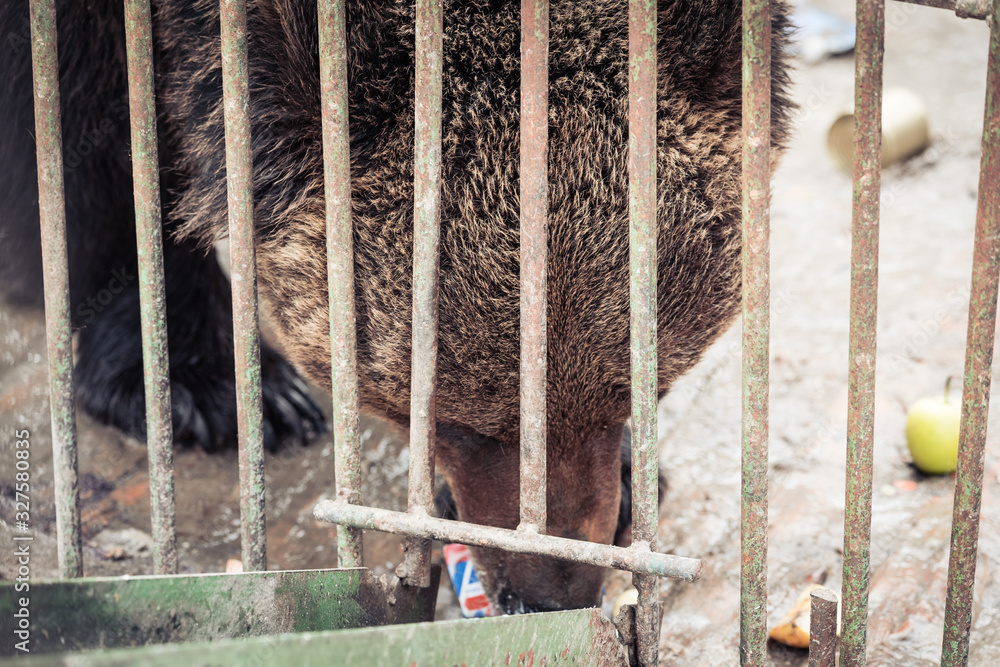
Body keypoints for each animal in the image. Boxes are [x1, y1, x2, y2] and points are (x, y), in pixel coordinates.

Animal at [0, 0, 792, 614]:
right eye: (454, 422)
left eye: (639, 391)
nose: (551, 594)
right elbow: (84, 110)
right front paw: (204, 381)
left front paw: (633, 480)